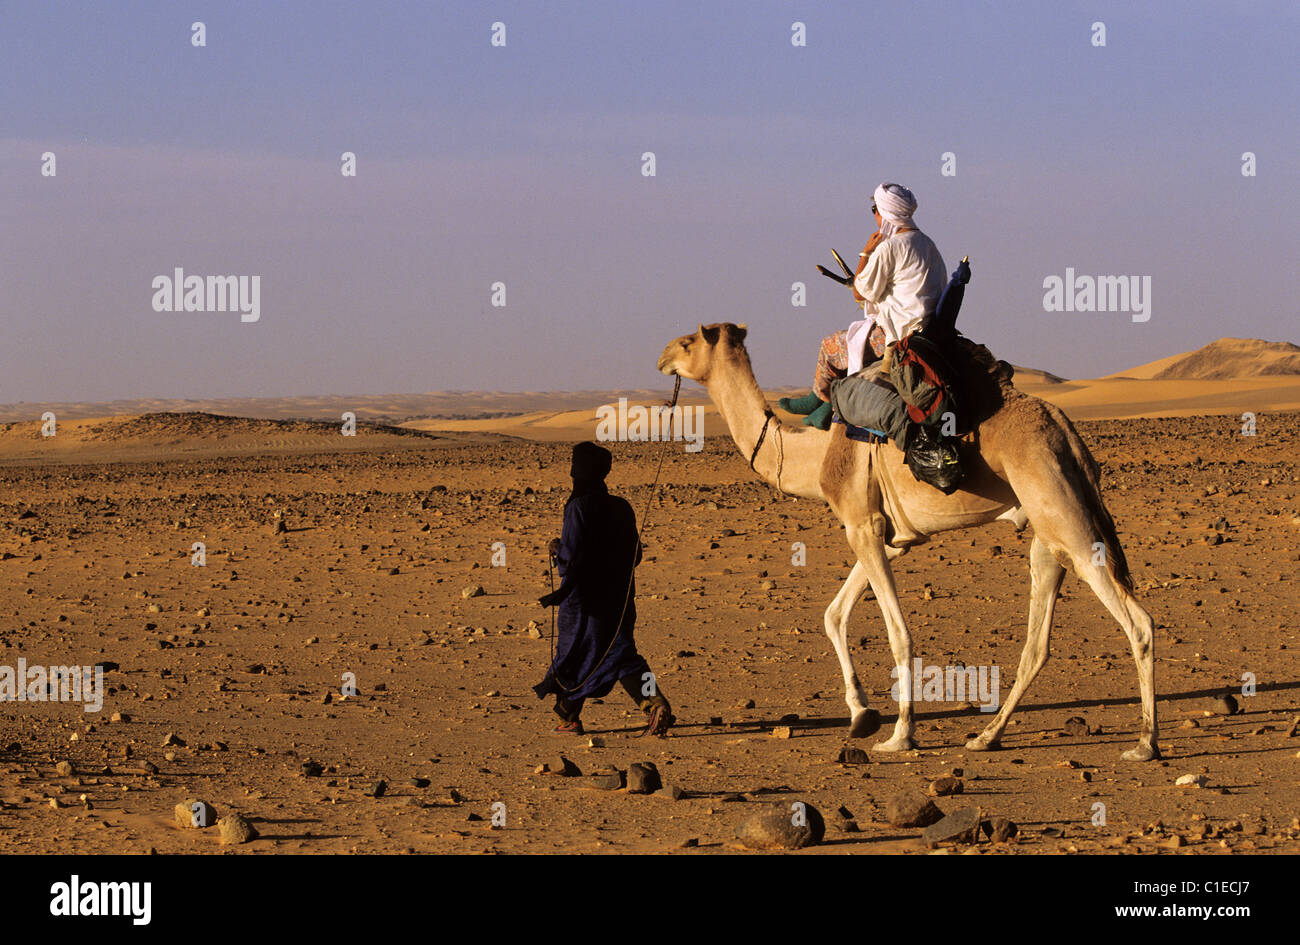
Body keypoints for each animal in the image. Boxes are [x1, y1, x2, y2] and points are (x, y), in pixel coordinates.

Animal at [657, 323, 1158, 761]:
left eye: (687, 342)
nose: (661, 357)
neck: (814, 456)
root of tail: (1064, 430)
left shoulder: (862, 524)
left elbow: (898, 634)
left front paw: (900, 735)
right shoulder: (890, 537)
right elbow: (833, 614)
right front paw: (861, 713)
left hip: (1062, 514)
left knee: (1138, 622)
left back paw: (1144, 743)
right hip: (1047, 530)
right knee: (1037, 644)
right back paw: (986, 737)